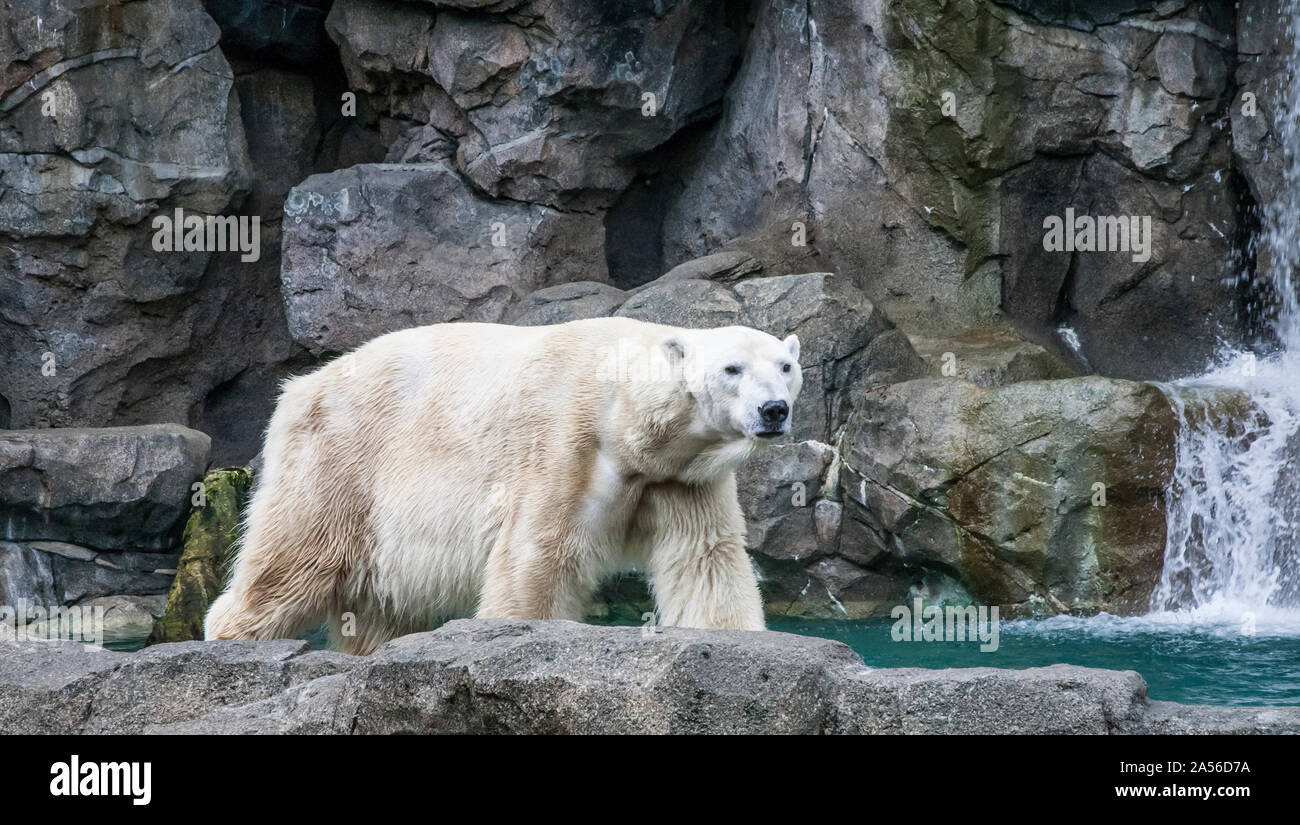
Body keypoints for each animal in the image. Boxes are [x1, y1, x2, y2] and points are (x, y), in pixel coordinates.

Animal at [204, 317, 802, 654]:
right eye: (732, 368)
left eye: (786, 365)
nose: (774, 409)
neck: (625, 419)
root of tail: (300, 386)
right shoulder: (564, 448)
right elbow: (535, 560)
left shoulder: (681, 477)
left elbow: (707, 563)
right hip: (342, 456)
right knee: (296, 556)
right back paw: (233, 637)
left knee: (382, 605)